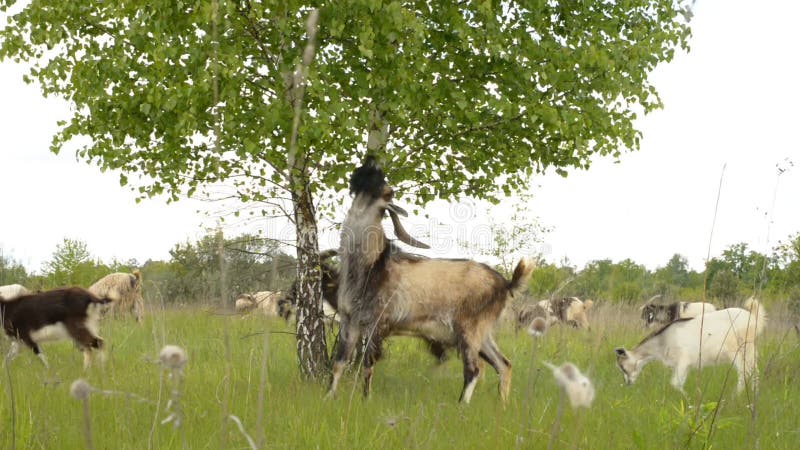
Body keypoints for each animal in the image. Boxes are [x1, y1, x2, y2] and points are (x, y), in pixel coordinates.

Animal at [327, 157, 534, 403]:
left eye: (384, 188)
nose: (372, 160)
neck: (371, 266)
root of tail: (505, 284)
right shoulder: (349, 321)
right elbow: (339, 363)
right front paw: (328, 397)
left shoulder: (377, 322)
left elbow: (367, 366)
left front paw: (364, 400)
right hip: (483, 333)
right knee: (503, 364)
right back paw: (502, 405)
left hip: (469, 328)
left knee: (474, 369)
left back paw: (461, 406)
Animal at [615, 298, 765, 393]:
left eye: (622, 366)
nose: (628, 383)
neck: (663, 341)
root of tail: (753, 318)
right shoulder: (683, 367)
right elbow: (678, 384)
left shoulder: (683, 361)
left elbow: (675, 384)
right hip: (751, 350)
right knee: (755, 372)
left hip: (738, 351)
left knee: (744, 373)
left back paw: (734, 397)